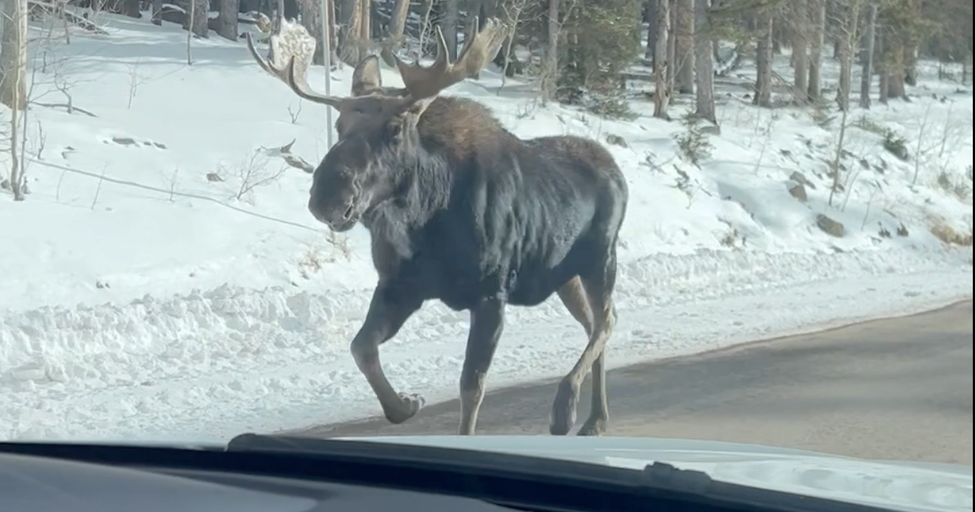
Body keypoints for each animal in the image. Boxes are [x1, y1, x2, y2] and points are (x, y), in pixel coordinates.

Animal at [245, 18, 629, 436]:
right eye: (340, 124)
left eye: (396, 129)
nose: (327, 195)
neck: (426, 218)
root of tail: (617, 170)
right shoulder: (401, 285)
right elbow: (361, 347)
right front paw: (406, 404)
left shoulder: (492, 293)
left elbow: (471, 386)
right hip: (565, 276)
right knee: (594, 324)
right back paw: (595, 417)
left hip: (600, 259)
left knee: (606, 322)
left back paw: (567, 407)